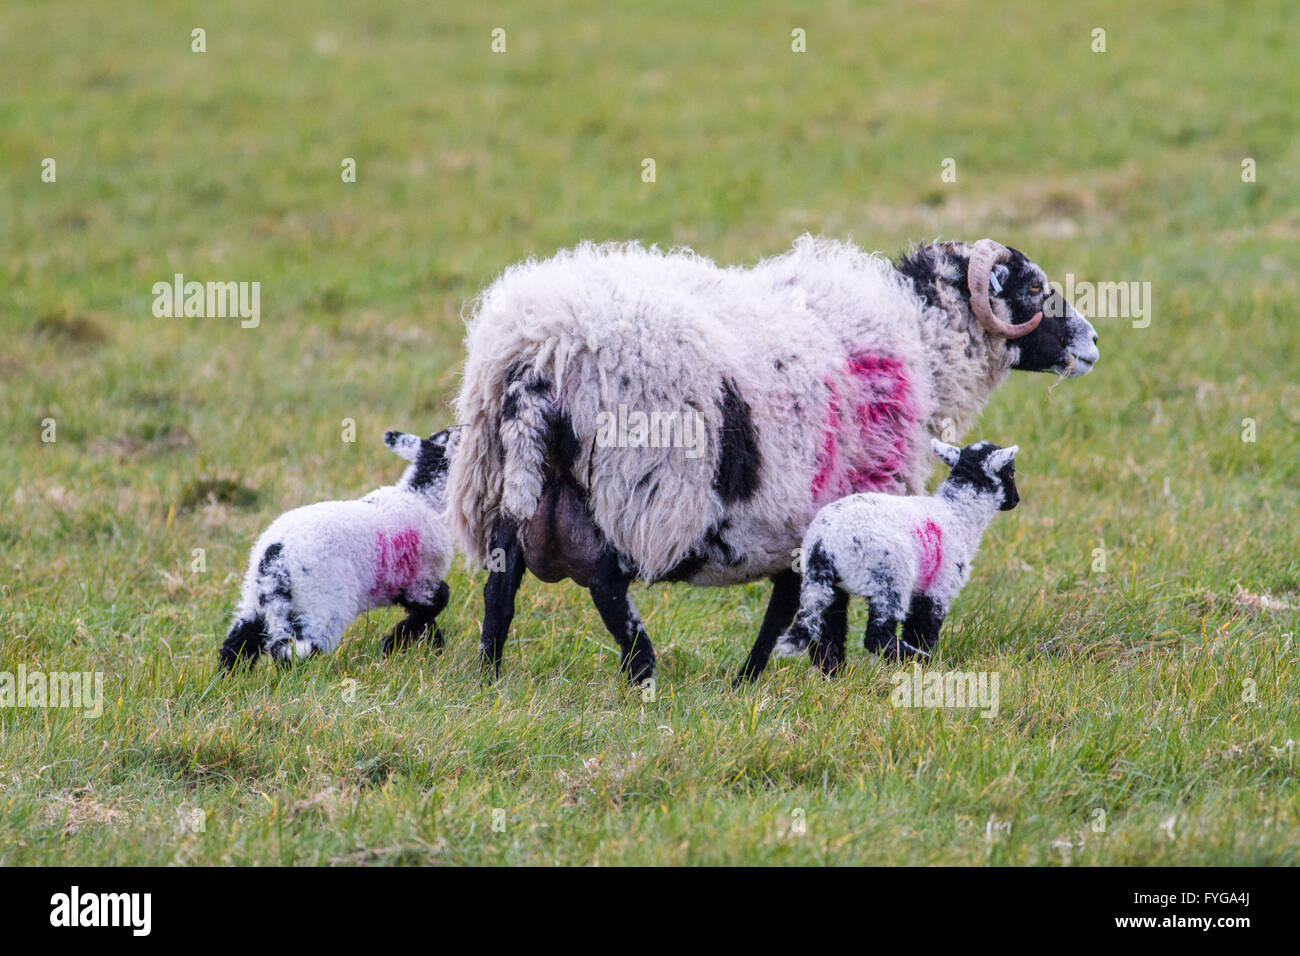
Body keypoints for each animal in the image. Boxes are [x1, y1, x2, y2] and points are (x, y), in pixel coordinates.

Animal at [218, 428, 457, 669]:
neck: (421, 495)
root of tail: (276, 557)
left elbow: (428, 611)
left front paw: (427, 646)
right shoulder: (420, 580)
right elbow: (438, 601)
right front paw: (398, 644)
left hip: (256, 598)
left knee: (240, 641)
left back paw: (229, 675)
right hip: (319, 602)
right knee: (295, 651)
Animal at [771, 438, 1019, 676]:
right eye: (1011, 472)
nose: (1016, 501)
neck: (957, 511)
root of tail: (823, 542)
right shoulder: (938, 587)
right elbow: (923, 629)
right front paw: (922, 666)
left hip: (831, 586)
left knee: (829, 637)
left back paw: (834, 676)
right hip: (889, 577)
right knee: (876, 637)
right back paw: (915, 657)